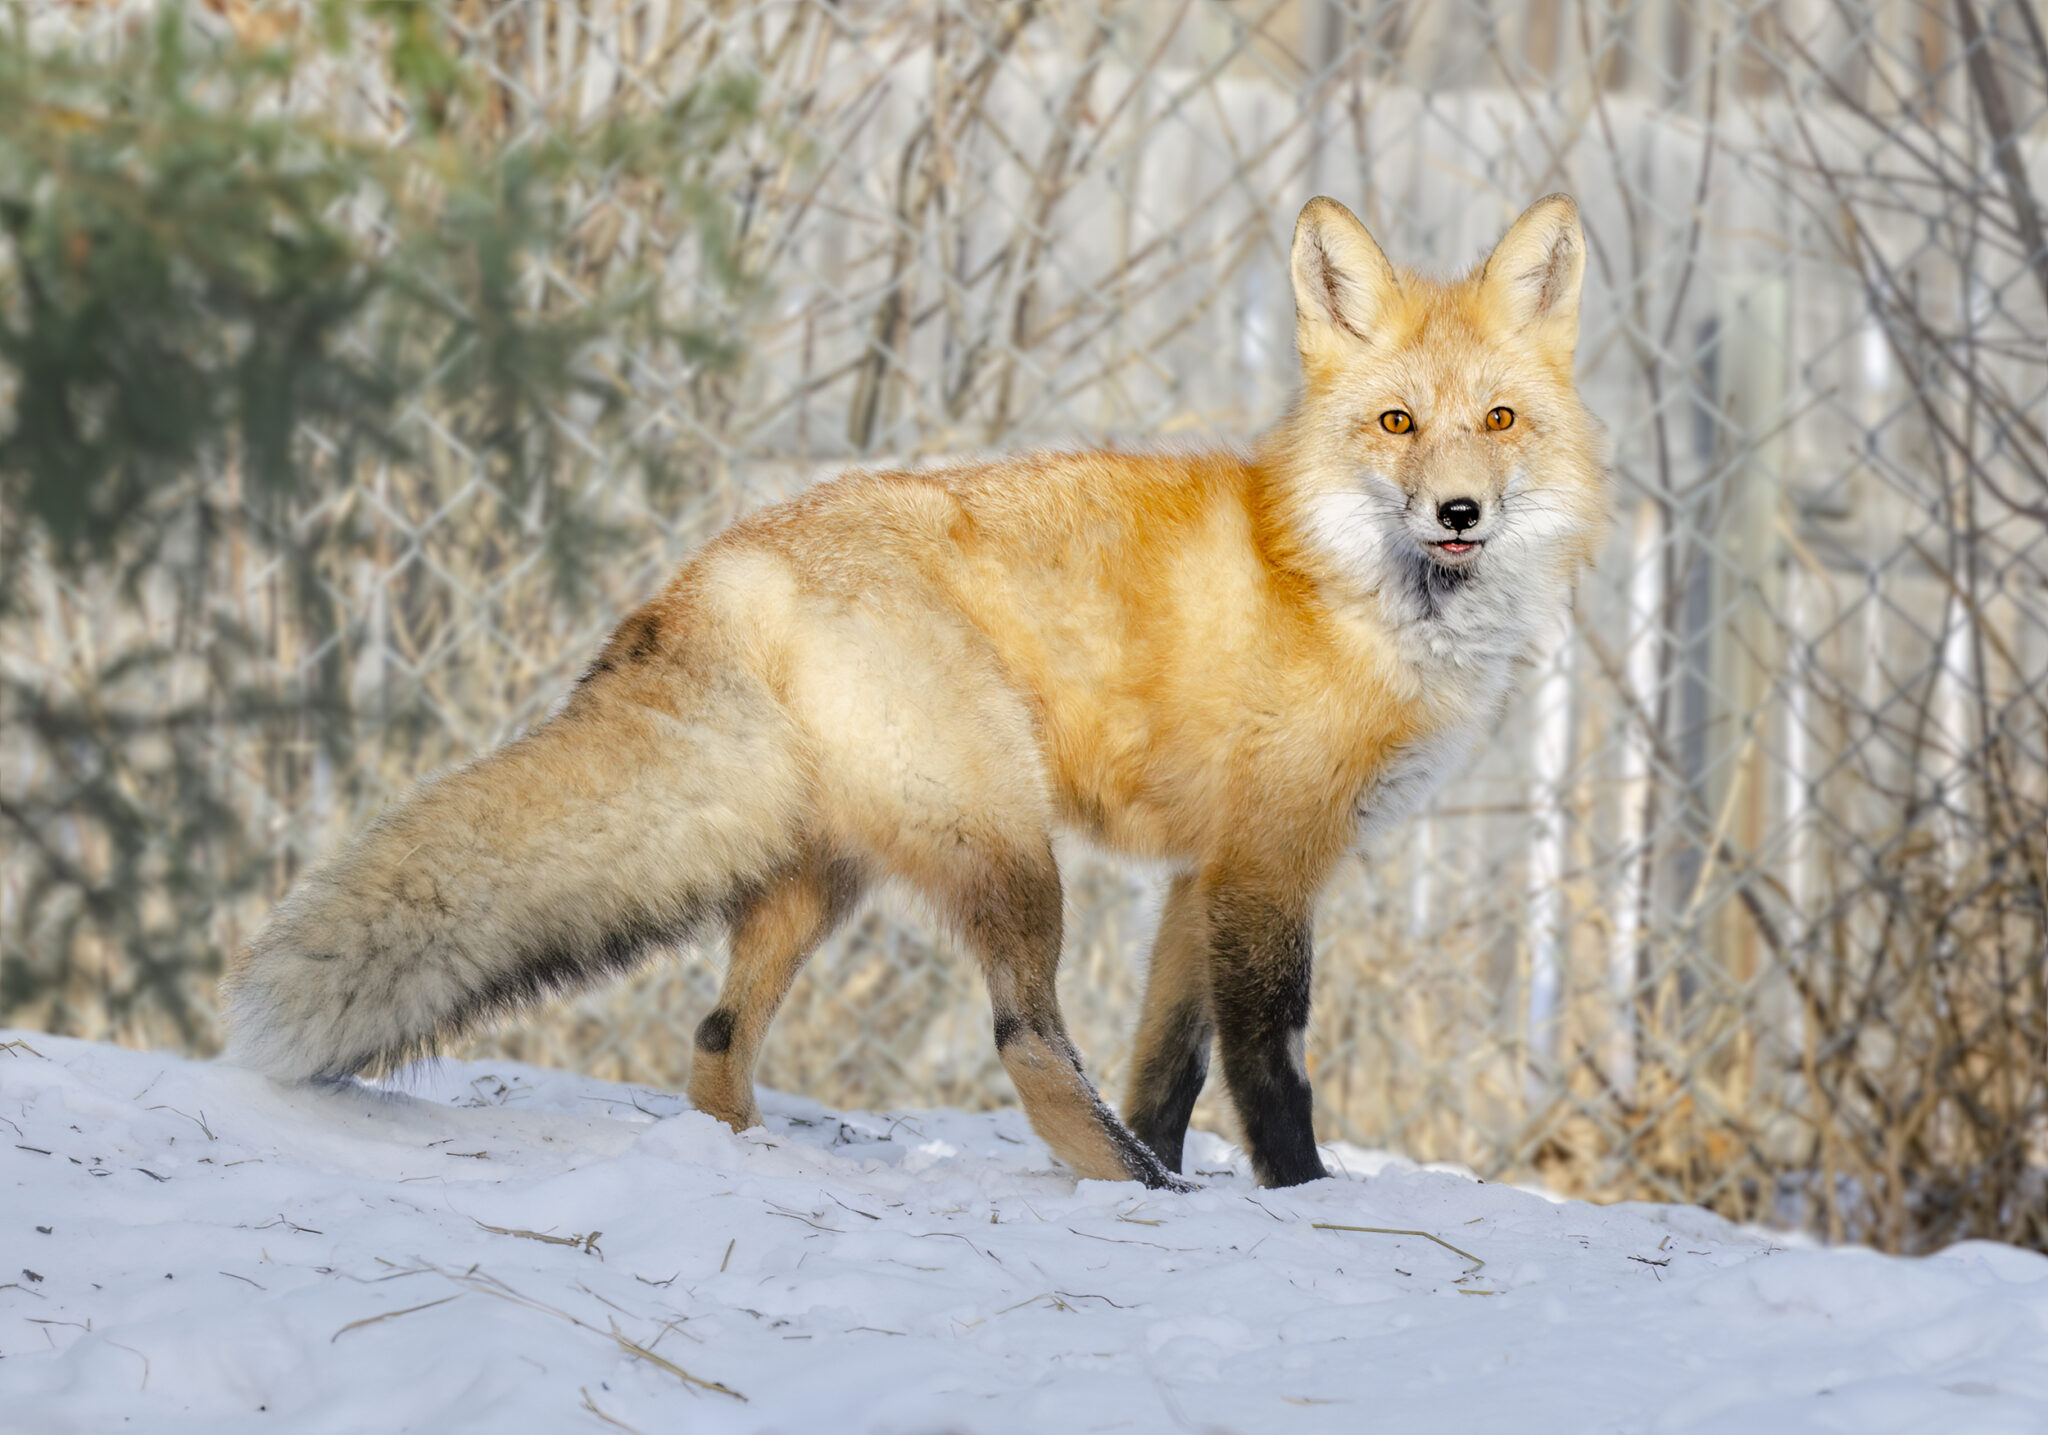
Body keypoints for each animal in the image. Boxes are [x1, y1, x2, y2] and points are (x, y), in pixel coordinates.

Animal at [223, 194, 1606, 1190]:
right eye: (1394, 423)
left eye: (1496, 420)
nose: (1458, 512)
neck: (1347, 588)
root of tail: (733, 558)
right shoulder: (1264, 868)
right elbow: (1271, 1072)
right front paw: (1296, 1199)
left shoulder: (1195, 881)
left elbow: (1166, 1067)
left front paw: (1183, 1173)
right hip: (1008, 851)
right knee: (1022, 1038)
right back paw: (1121, 1177)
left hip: (821, 873)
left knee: (714, 1038)